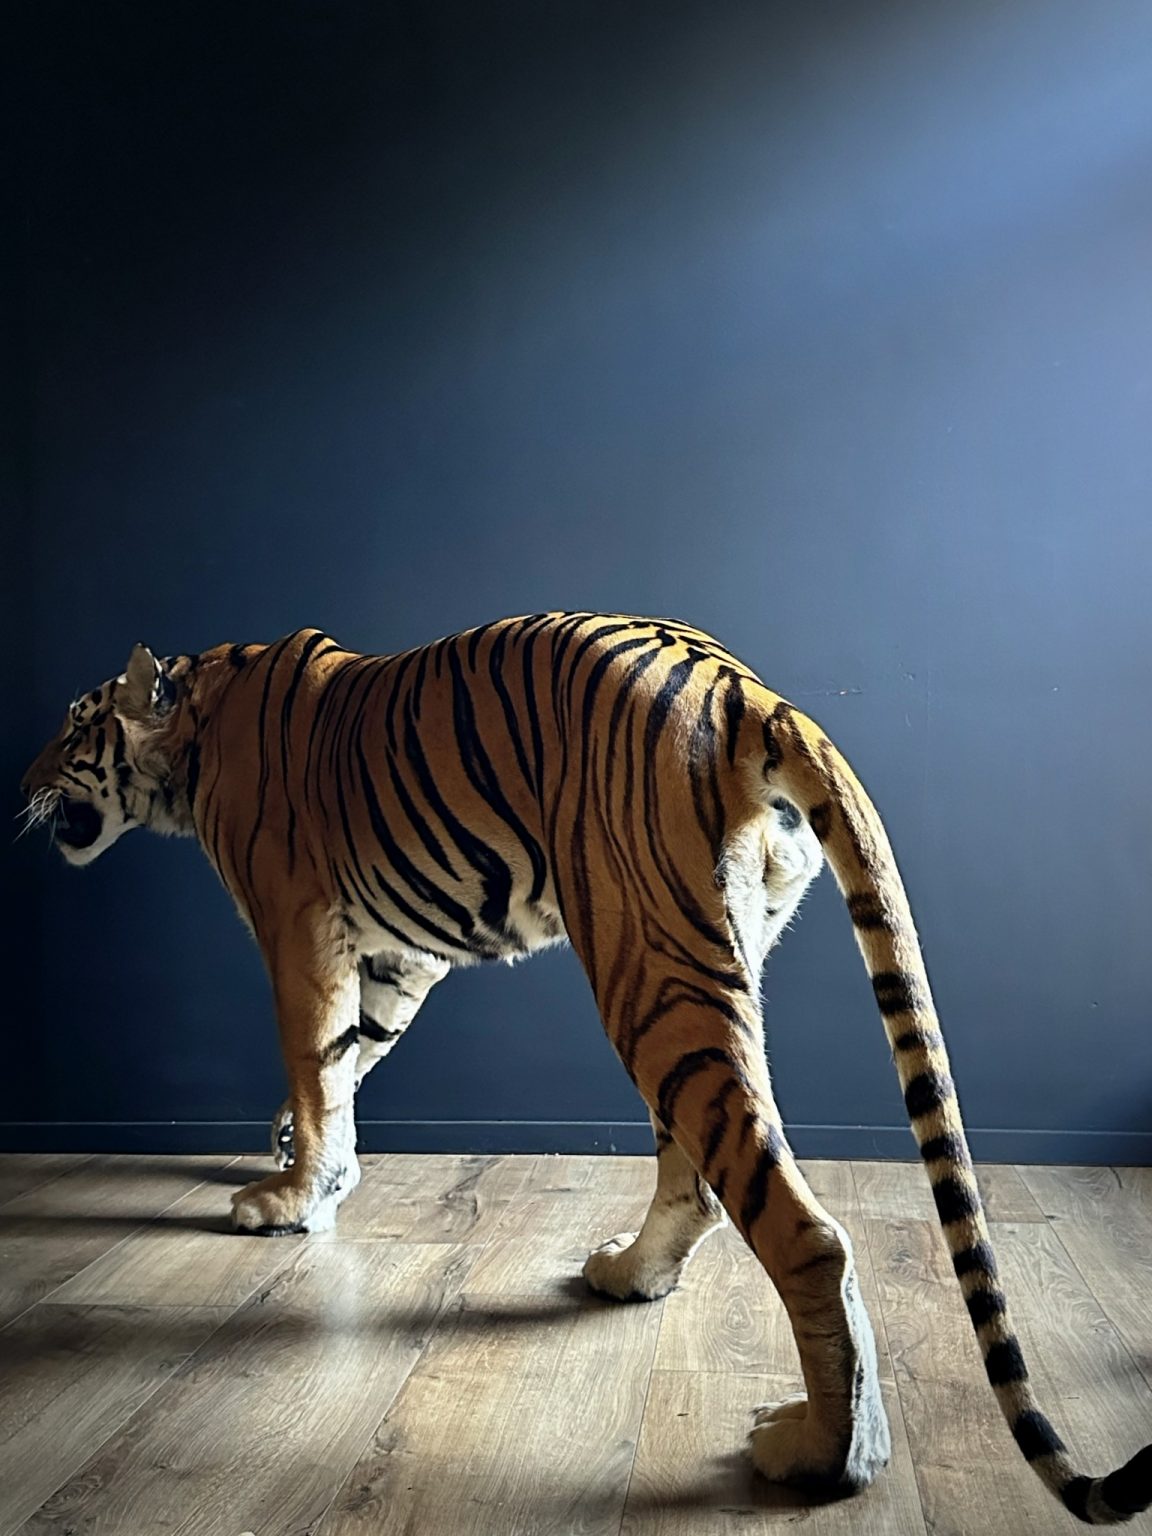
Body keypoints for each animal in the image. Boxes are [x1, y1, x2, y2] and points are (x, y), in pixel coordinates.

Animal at [20, 611, 1151, 1523]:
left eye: (73, 729)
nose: (22, 790)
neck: (193, 721)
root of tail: (741, 685)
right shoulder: (398, 955)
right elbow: (351, 1060)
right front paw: (311, 1161)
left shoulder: (298, 928)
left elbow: (312, 1057)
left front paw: (291, 1197)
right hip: (687, 969)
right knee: (699, 1179)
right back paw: (634, 1277)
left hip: (647, 967)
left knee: (806, 1233)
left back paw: (823, 1458)